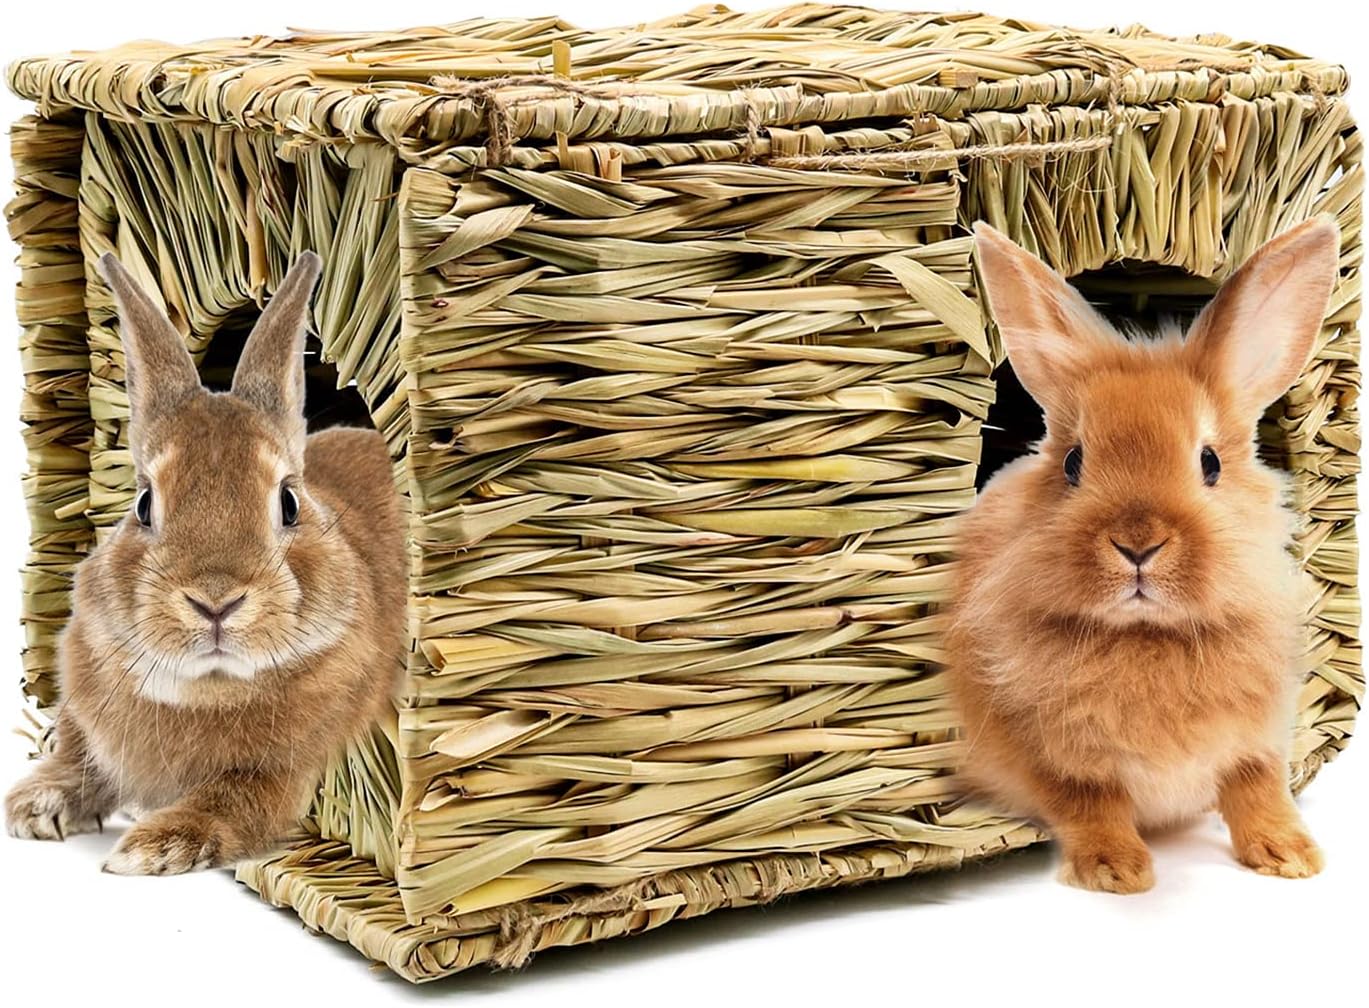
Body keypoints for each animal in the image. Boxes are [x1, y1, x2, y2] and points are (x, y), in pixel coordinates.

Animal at [4, 252, 407, 874]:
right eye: (144, 504)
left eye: (289, 502)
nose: (216, 602)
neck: (207, 688)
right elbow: (80, 756)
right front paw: (34, 805)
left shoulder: (282, 773)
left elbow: (232, 801)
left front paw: (150, 849)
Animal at [947, 217, 1341, 894]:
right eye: (1073, 463)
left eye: (1210, 463)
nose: (1138, 543)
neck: (1148, 636)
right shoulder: (1052, 758)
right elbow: (1090, 801)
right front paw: (1117, 871)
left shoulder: (1258, 740)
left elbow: (1258, 789)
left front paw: (1290, 857)